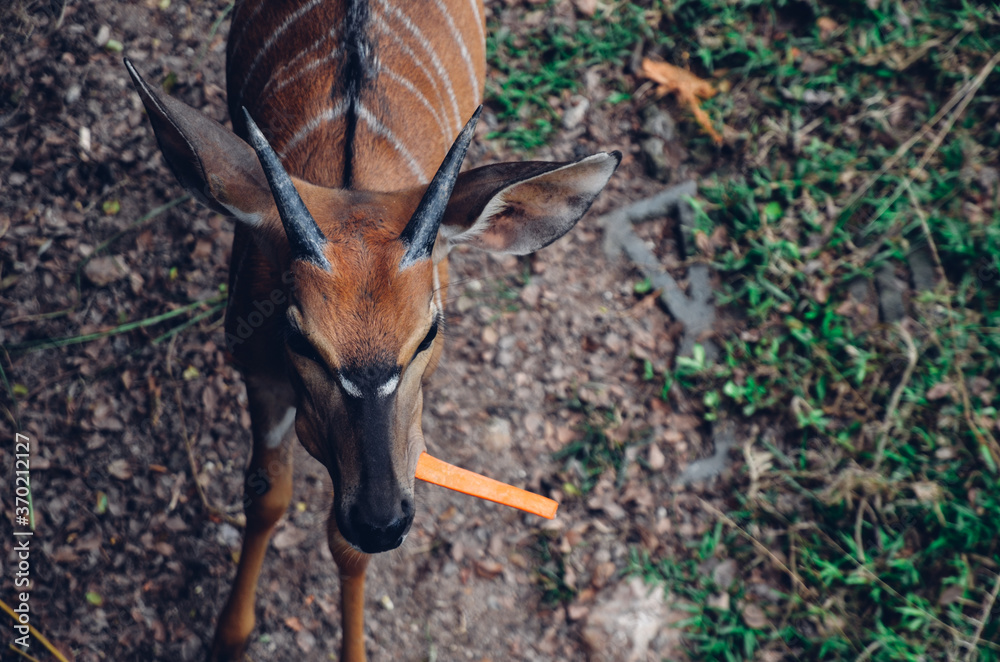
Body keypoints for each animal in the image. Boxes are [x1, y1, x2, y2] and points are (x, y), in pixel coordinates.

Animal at [125, 0, 619, 659]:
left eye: (429, 332)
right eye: (298, 336)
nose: (382, 521)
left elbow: (343, 546)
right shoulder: (259, 369)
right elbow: (266, 493)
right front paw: (230, 635)